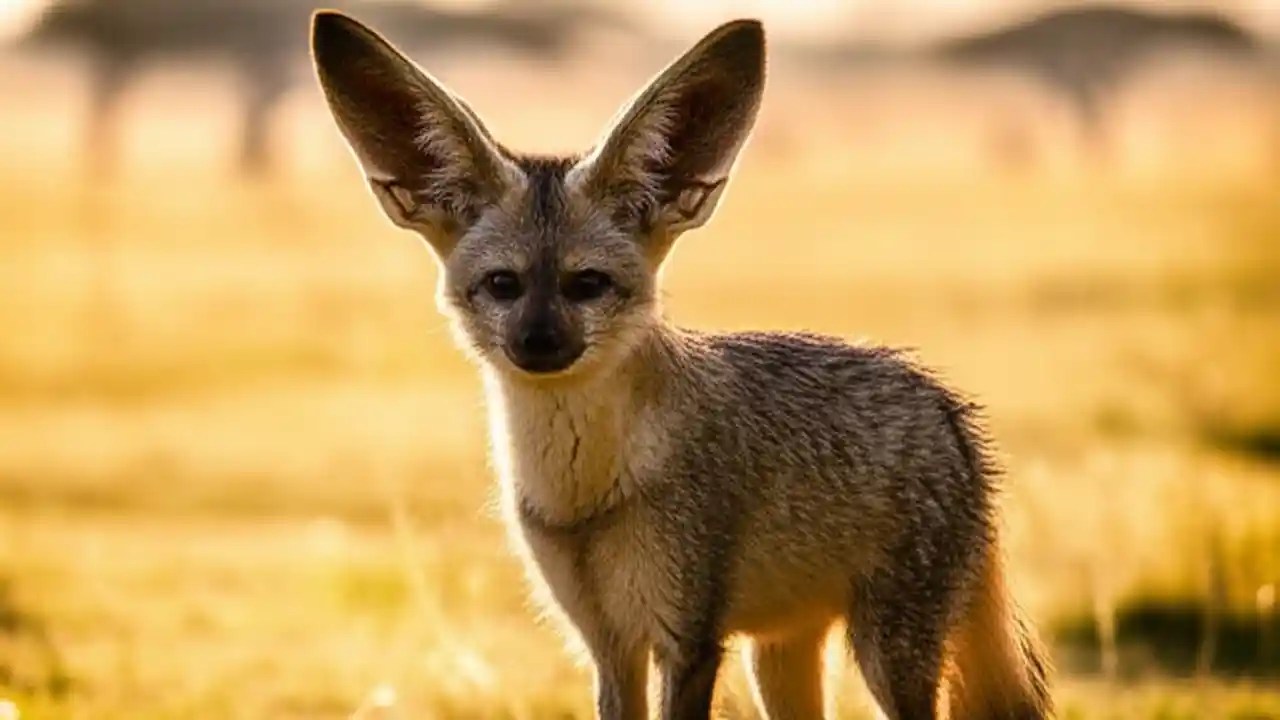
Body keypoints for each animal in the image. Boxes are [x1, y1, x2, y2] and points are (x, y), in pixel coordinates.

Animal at [311, 11, 1052, 720]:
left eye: (587, 285)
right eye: (503, 285)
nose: (539, 344)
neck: (585, 495)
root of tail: (945, 405)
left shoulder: (688, 638)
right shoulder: (608, 645)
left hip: (883, 651)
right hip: (778, 655)